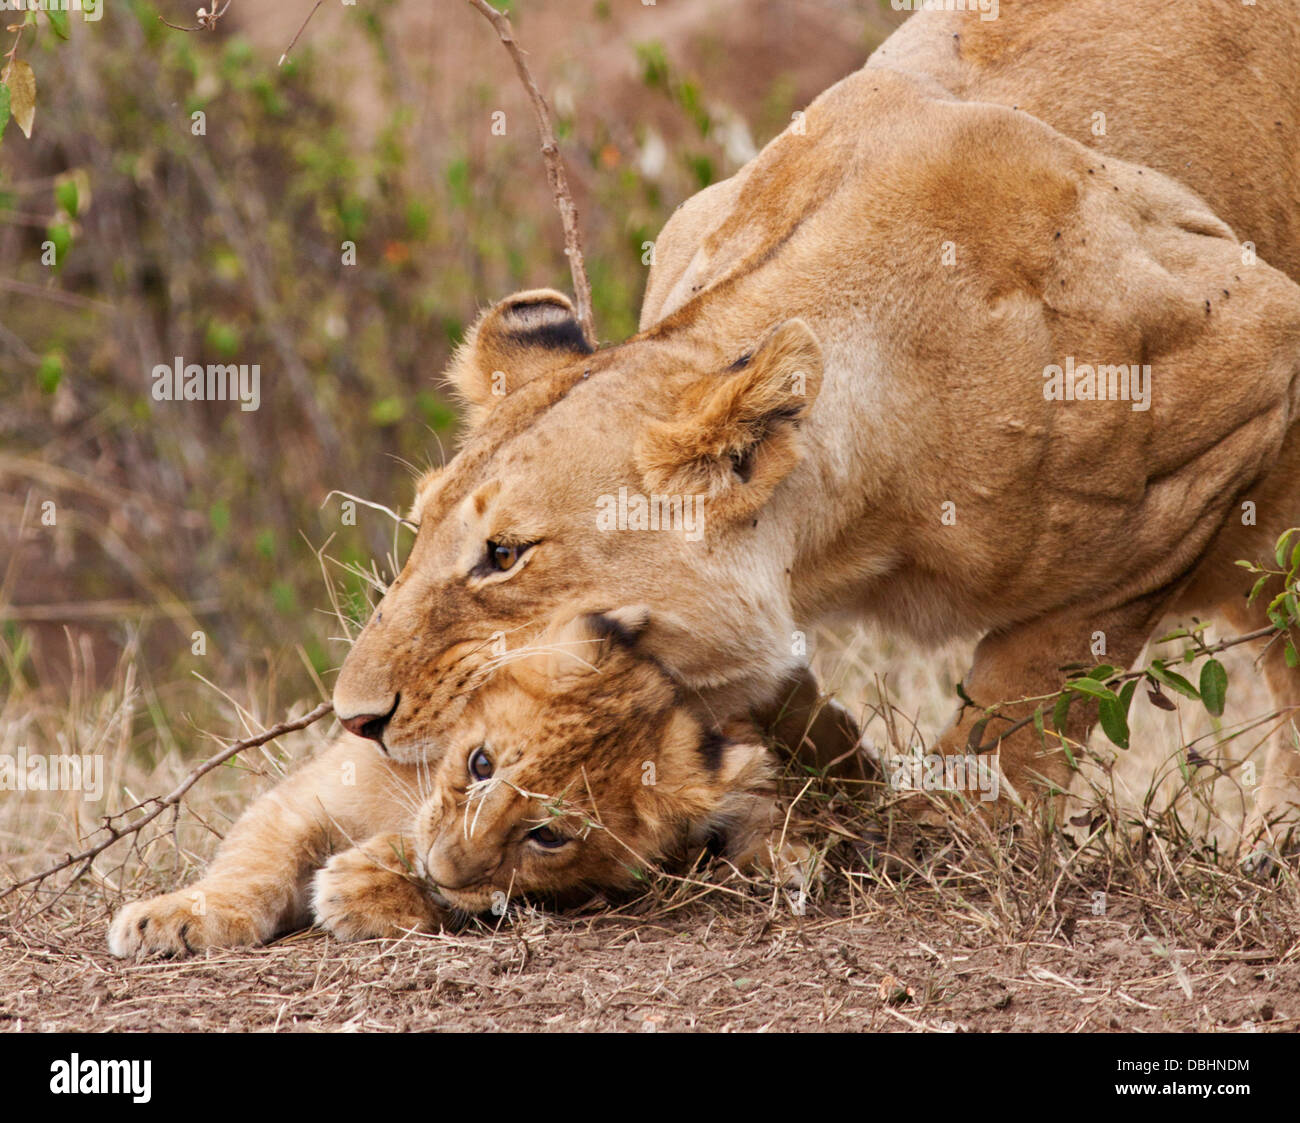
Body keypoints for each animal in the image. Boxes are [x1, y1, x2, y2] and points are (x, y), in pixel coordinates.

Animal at [108, 610, 807, 956]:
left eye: (549, 836)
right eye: (480, 765)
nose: (442, 867)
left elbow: (458, 894)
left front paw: (367, 886)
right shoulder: (309, 795)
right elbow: (254, 863)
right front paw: (172, 918)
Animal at [331, 0, 1300, 837]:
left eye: (504, 555)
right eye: (419, 532)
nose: (354, 718)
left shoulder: (1249, 349)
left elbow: (1040, 669)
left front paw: (950, 821)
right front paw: (832, 758)